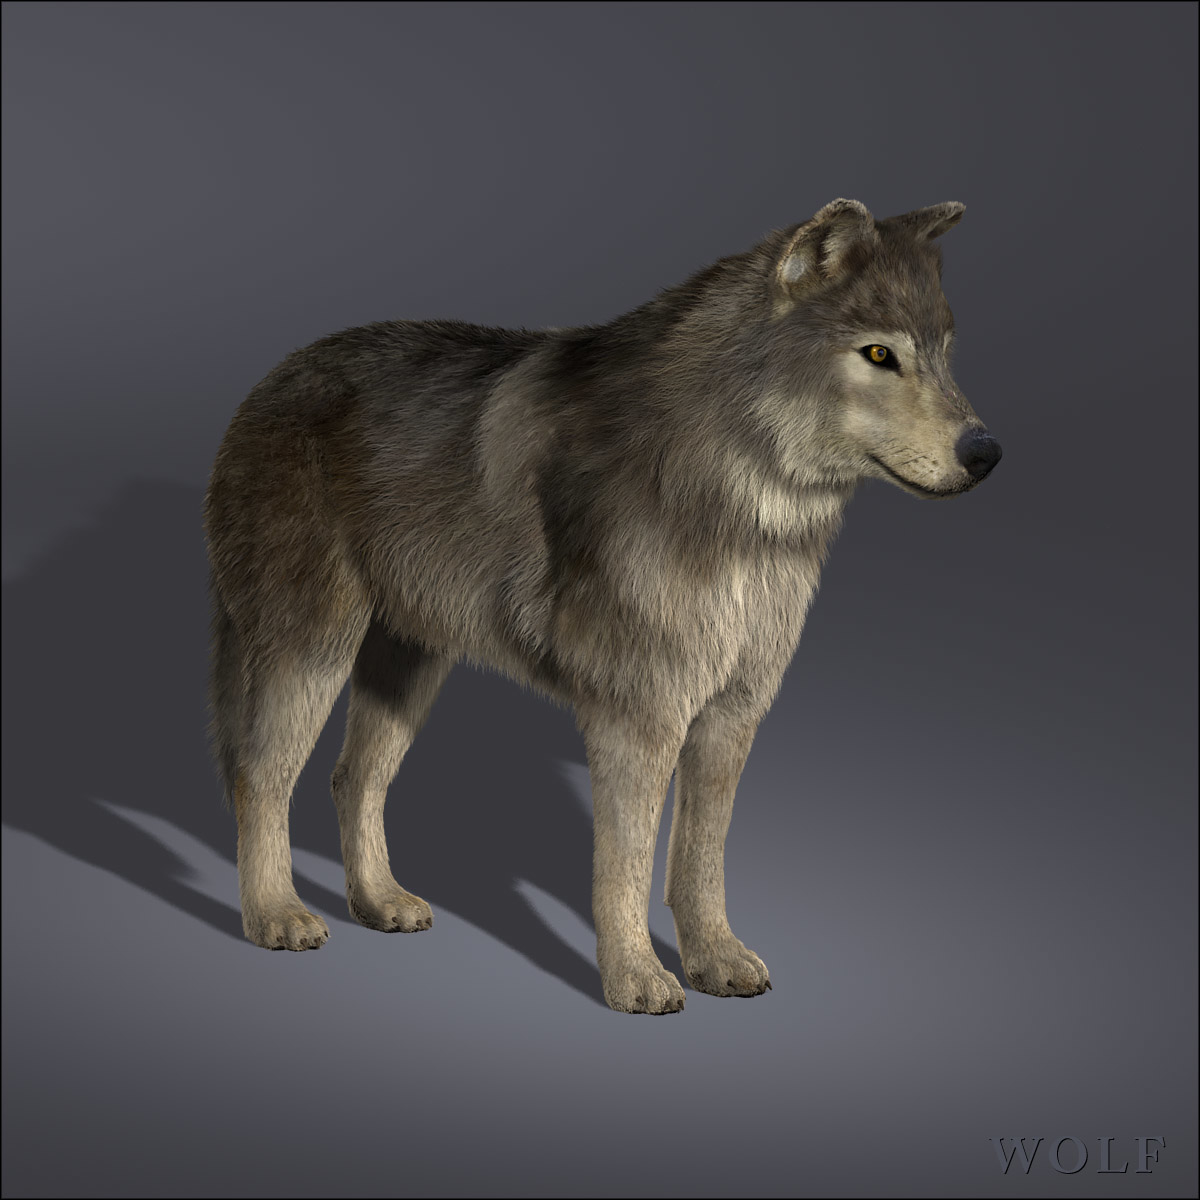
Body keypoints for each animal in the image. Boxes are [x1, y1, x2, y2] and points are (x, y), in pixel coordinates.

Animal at [204, 198, 1001, 1014]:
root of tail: (271, 379)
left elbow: (699, 860)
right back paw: (275, 915)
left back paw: (380, 902)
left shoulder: (730, 716)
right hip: (313, 650)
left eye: (945, 352)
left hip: (410, 665)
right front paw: (637, 980)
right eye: (879, 355)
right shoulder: (639, 717)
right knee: (259, 775)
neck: (737, 493)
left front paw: (715, 961)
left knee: (353, 778)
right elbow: (626, 864)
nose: (987, 453)